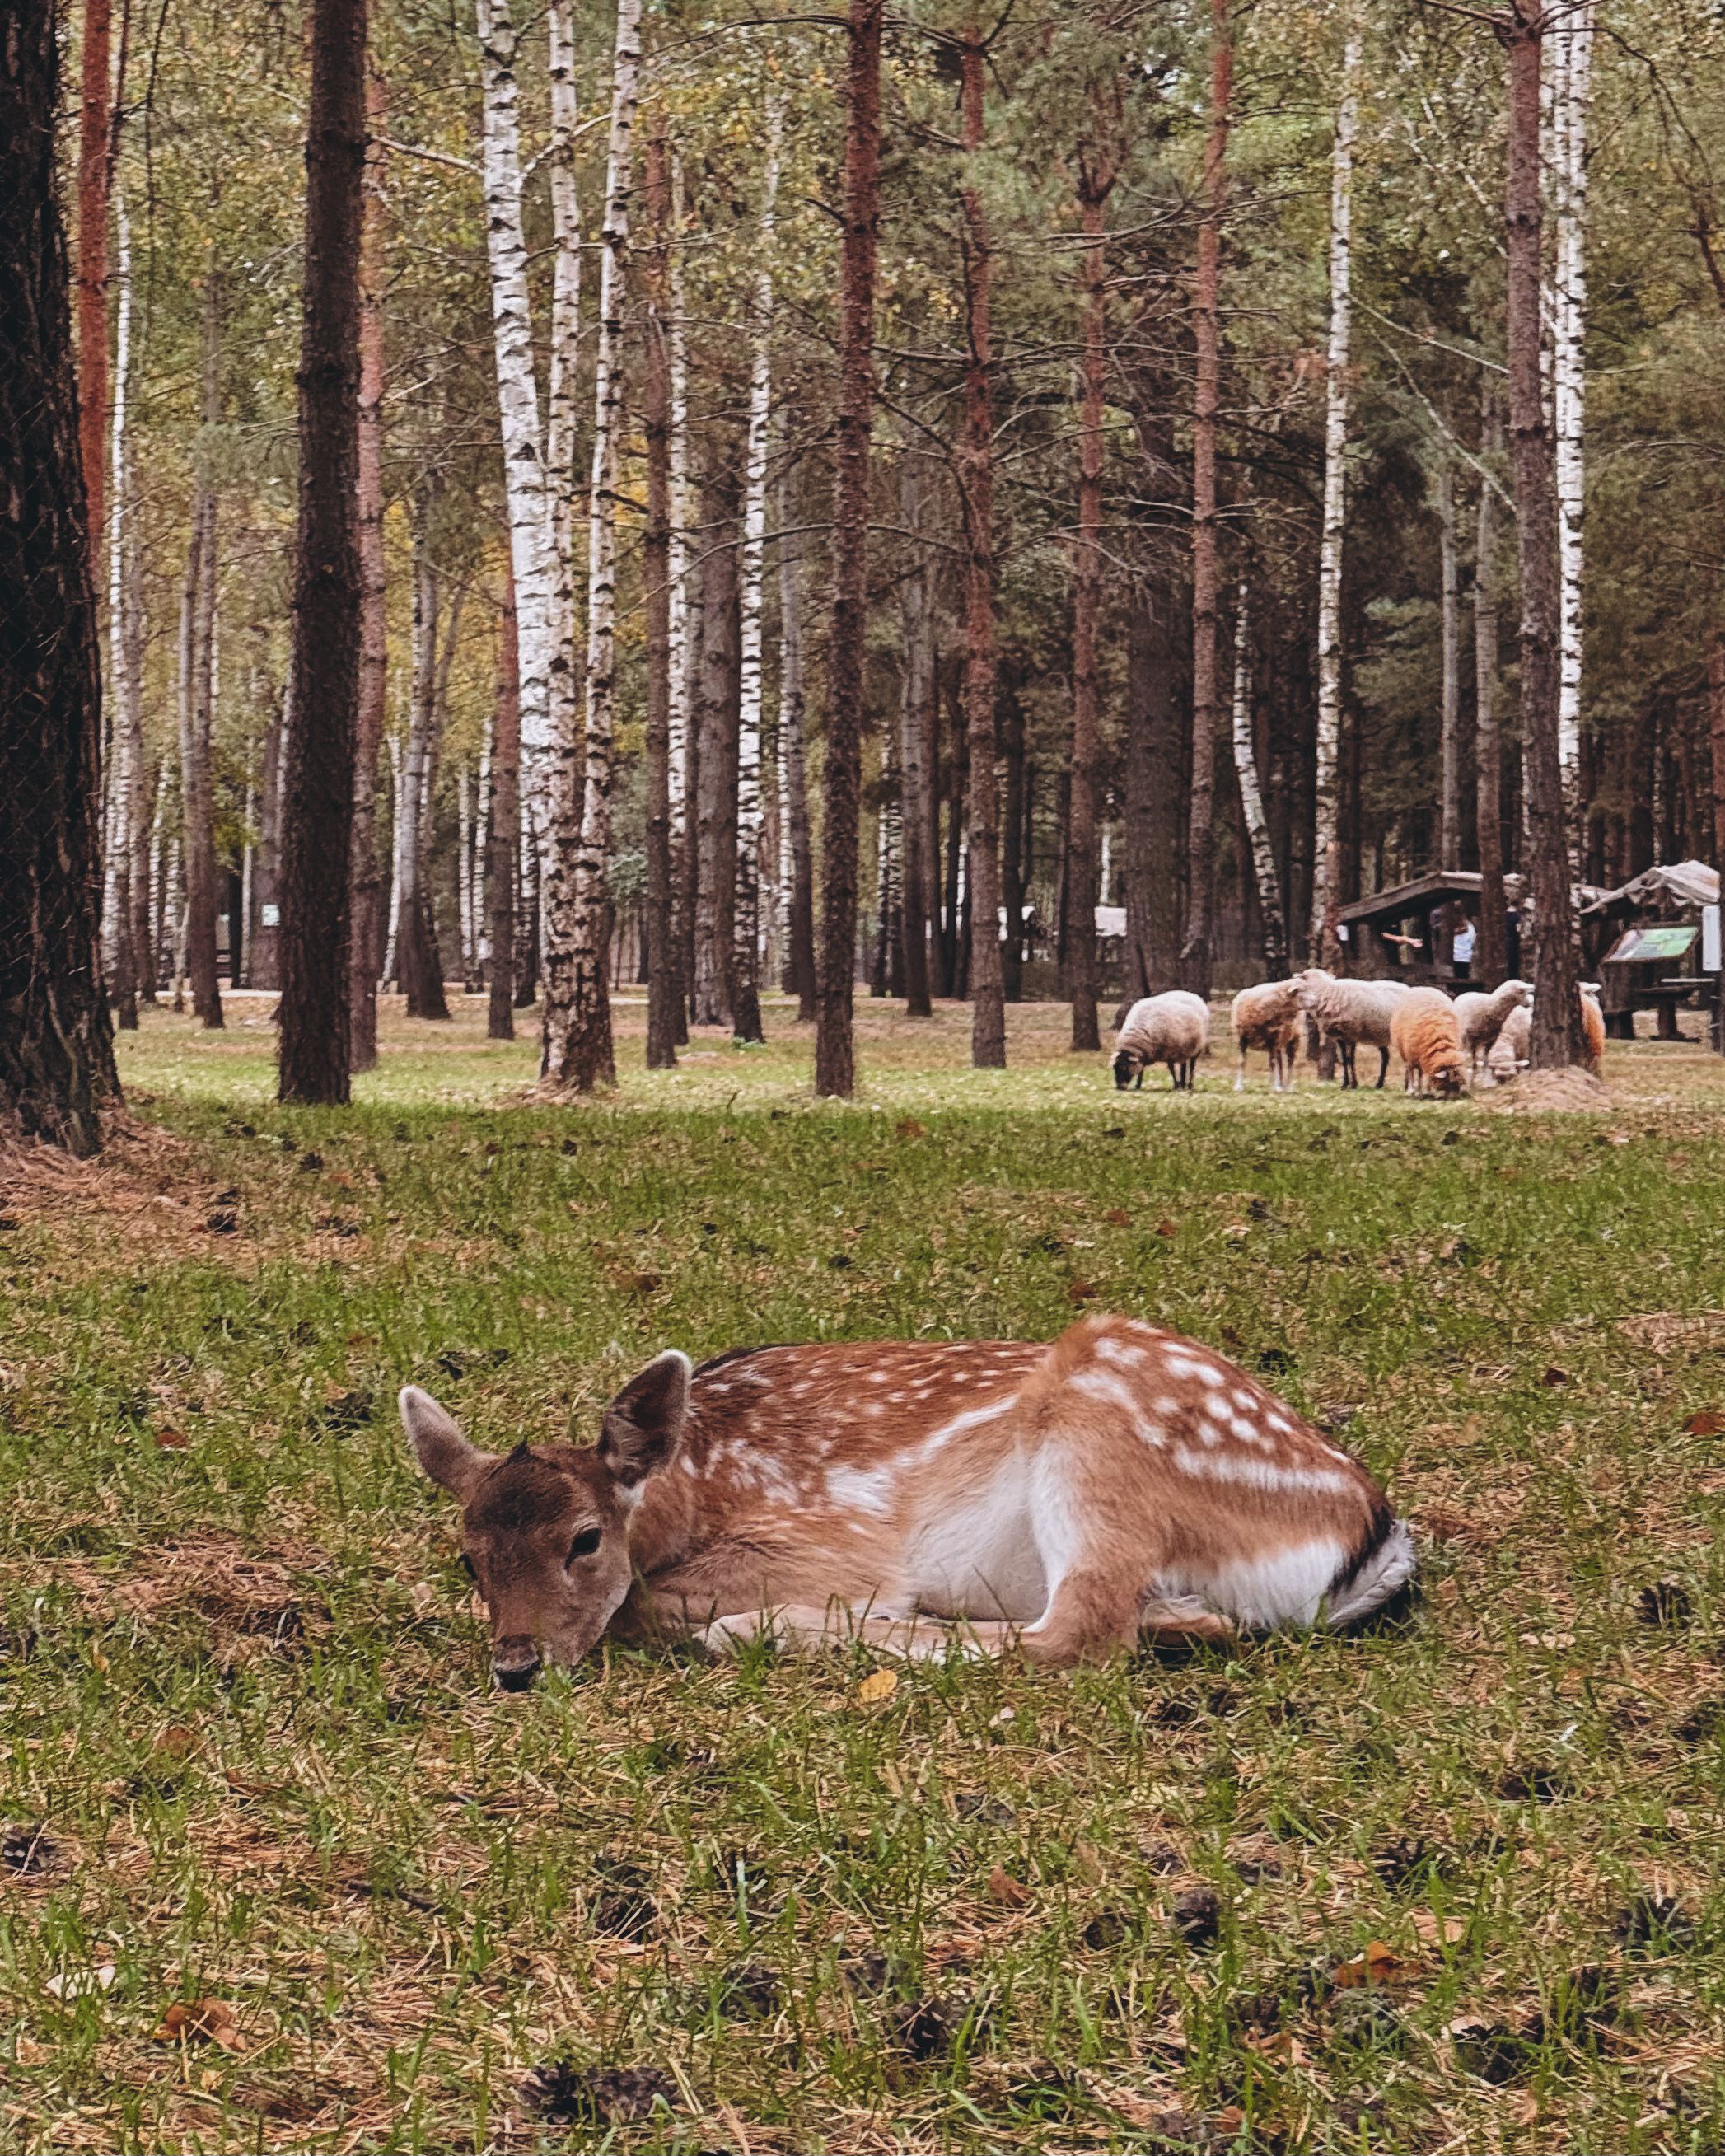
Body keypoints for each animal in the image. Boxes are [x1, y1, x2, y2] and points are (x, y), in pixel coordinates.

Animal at [400, 1312, 1415, 1690]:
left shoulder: (831, 1537)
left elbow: (642, 1606)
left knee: (1078, 1629)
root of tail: (1373, 1530)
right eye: (467, 1557)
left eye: (584, 1540)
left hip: (1099, 1431)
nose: (516, 1663)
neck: (694, 1483)